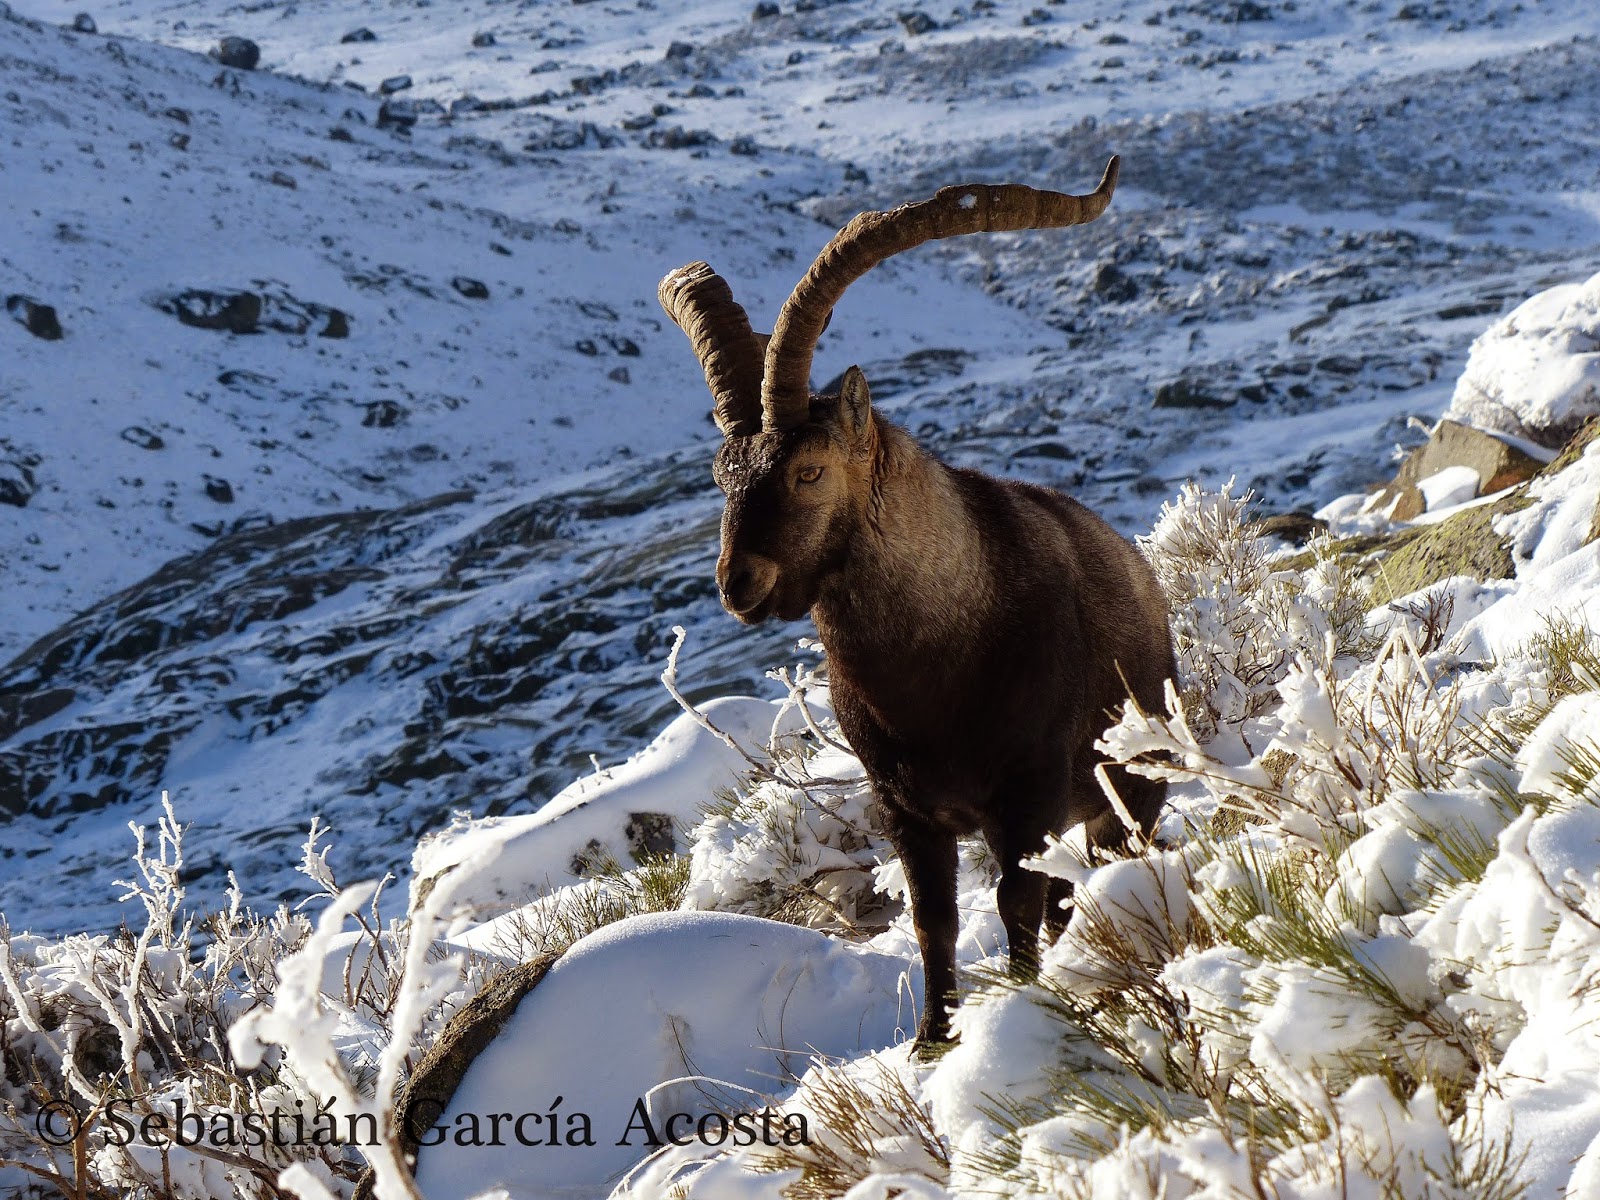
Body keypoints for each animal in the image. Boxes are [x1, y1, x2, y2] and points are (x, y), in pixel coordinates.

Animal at [658, 157, 1176, 1050]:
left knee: (1101, 871)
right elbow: (936, 922)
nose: (737, 584)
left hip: (1129, 789)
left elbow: (1014, 902)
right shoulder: (907, 811)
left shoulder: (1025, 797)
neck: (937, 658)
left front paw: (1021, 1016)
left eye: (809, 470)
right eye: (722, 475)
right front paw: (934, 1041)